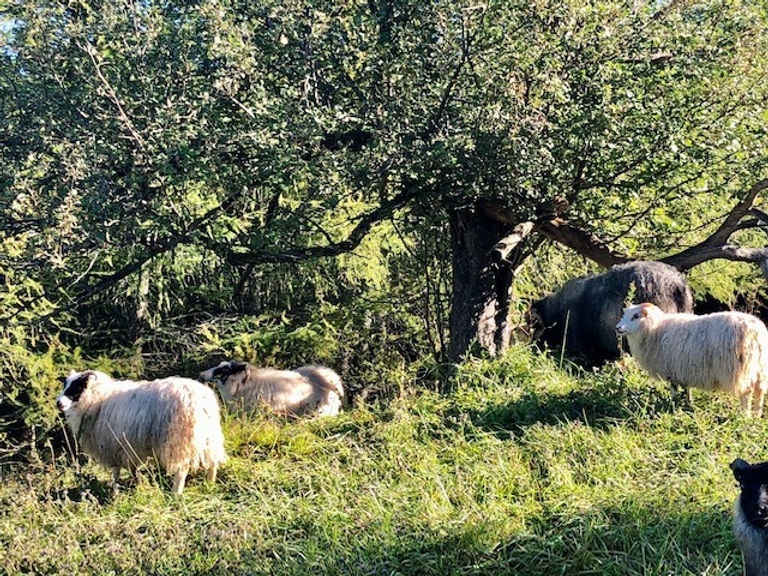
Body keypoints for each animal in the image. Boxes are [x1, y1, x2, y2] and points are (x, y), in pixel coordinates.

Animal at [56, 369, 227, 494]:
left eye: (77, 387)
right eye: (64, 385)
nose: (58, 403)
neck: (97, 399)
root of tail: (200, 399)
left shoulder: (112, 445)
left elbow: (116, 471)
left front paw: (114, 490)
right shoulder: (126, 447)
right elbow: (132, 469)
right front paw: (136, 485)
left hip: (179, 438)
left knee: (182, 468)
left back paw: (175, 493)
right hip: (208, 436)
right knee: (212, 461)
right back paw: (210, 484)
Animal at [615, 303, 768, 416]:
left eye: (636, 316)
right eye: (625, 315)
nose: (618, 328)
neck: (655, 329)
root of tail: (756, 332)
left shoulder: (672, 371)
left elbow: (674, 390)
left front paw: (672, 404)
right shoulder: (683, 370)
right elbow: (687, 389)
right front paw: (689, 404)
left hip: (742, 369)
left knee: (747, 392)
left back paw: (745, 415)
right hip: (759, 368)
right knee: (759, 391)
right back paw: (756, 415)